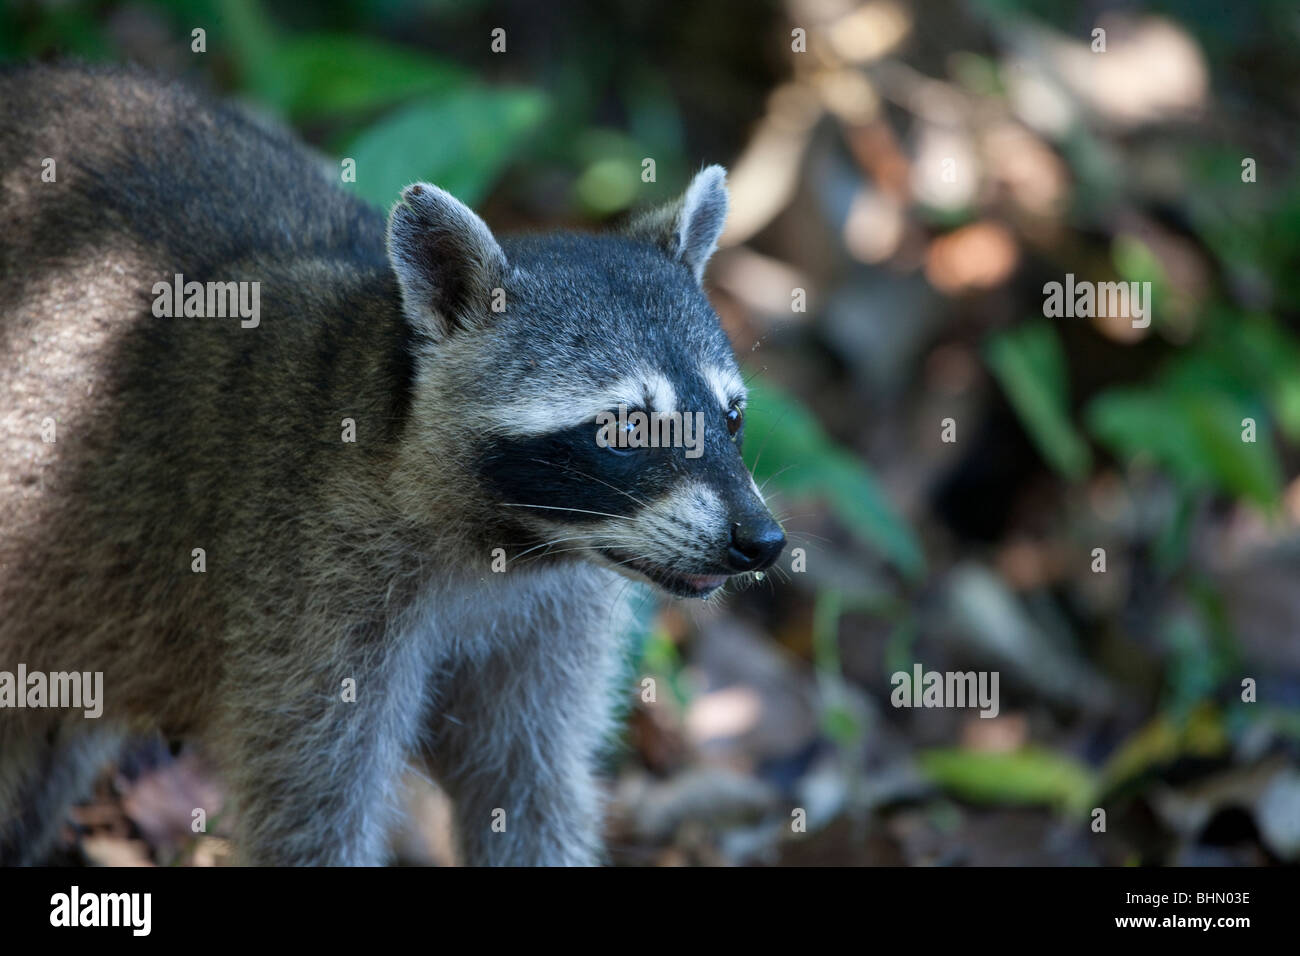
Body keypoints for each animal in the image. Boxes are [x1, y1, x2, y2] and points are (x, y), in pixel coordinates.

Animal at [0, 64, 784, 866]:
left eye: (730, 418)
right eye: (627, 427)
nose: (763, 543)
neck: (517, 546)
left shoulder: (553, 617)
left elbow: (530, 787)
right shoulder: (307, 593)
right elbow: (312, 812)